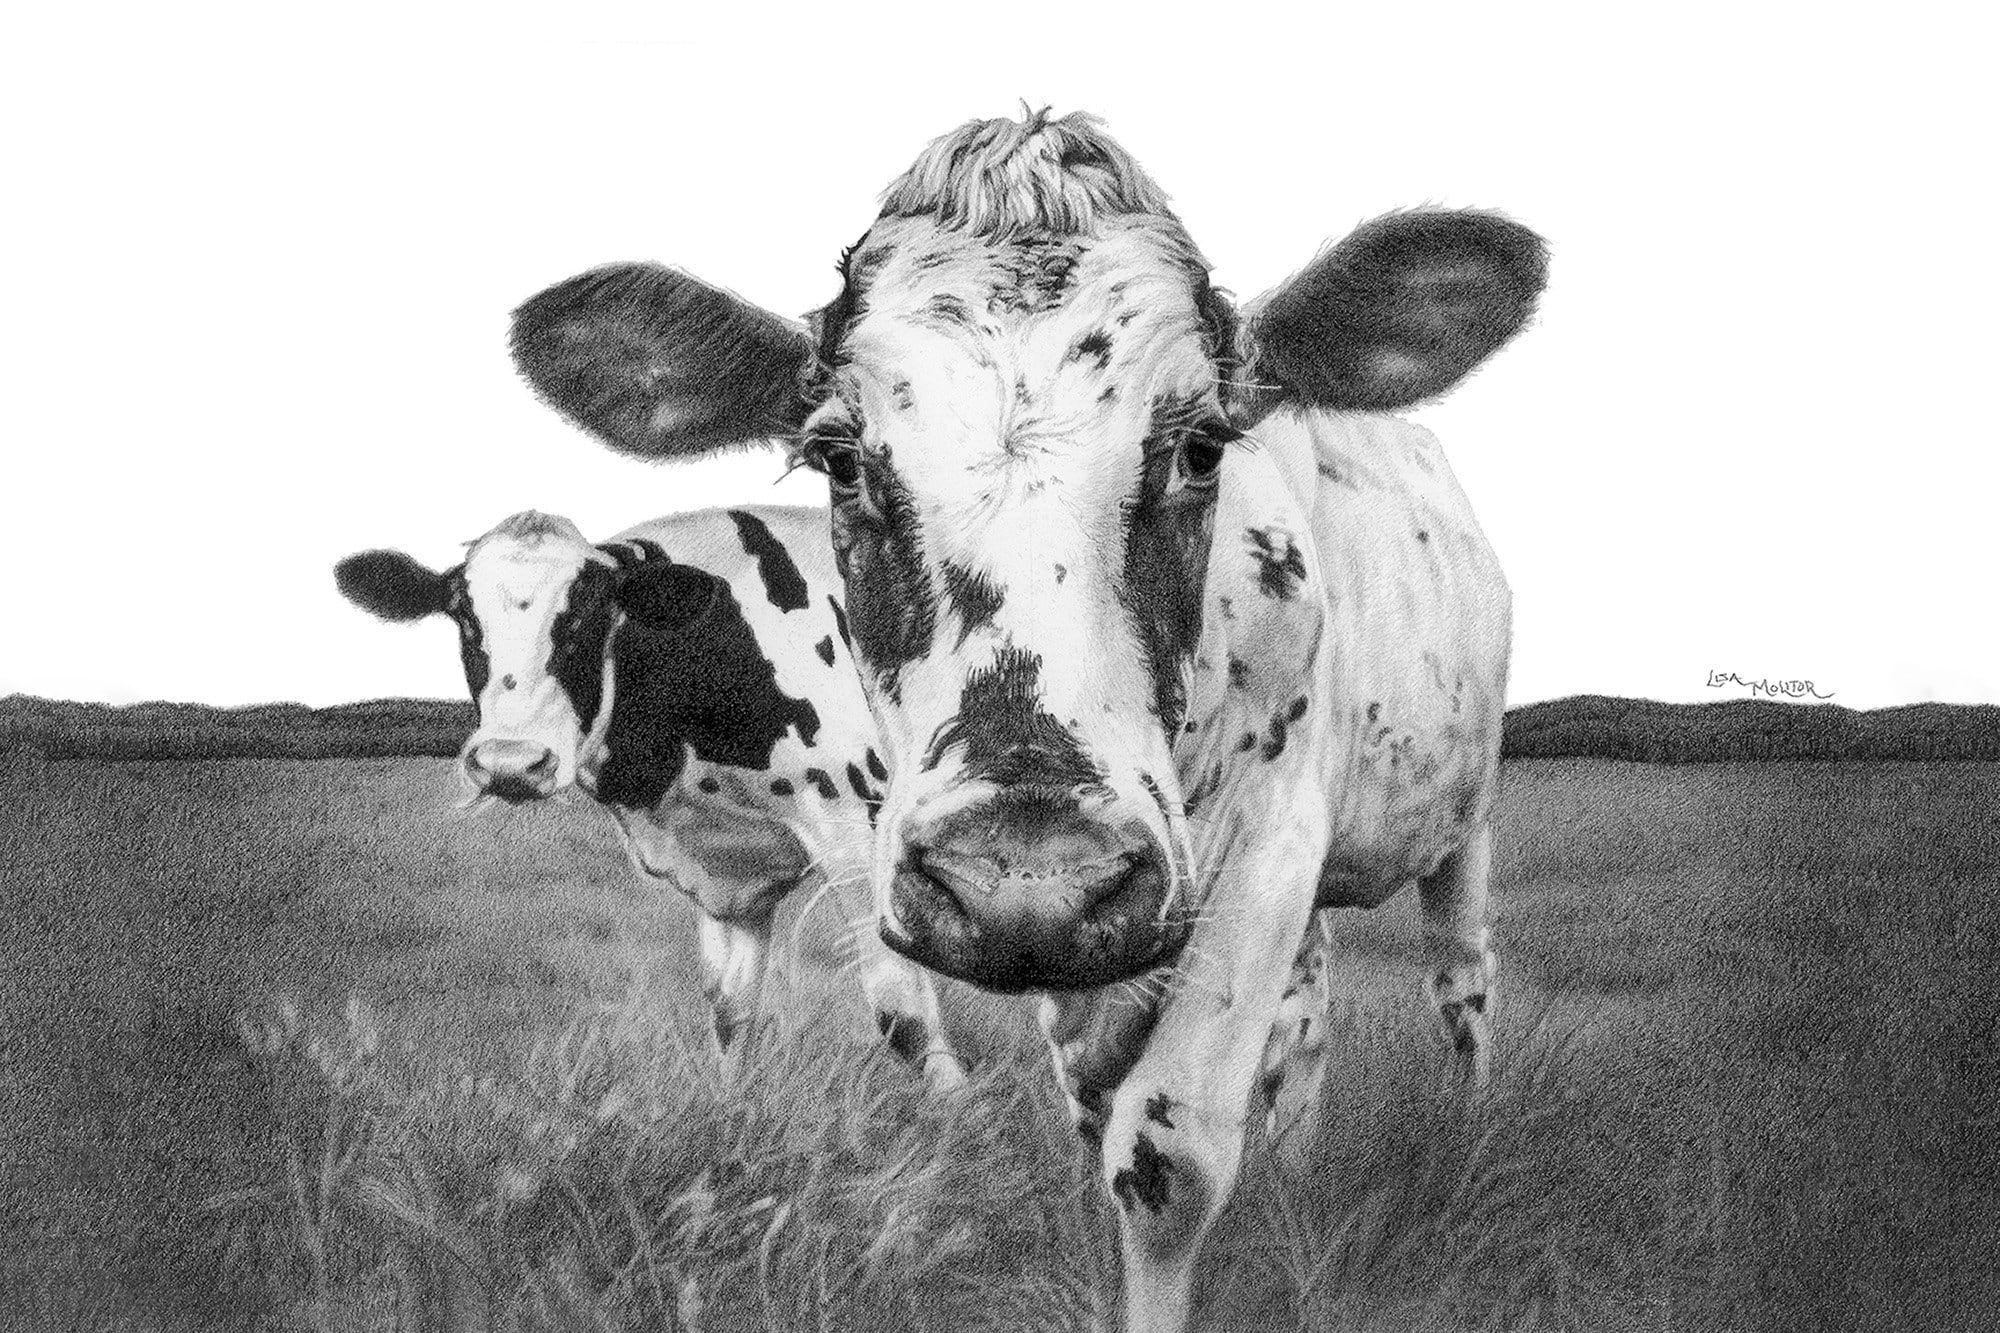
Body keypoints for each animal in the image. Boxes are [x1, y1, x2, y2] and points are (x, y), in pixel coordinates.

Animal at [334, 507, 966, 1089]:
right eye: (464, 615)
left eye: (589, 612)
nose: (510, 762)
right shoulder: (730, 875)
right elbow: (731, 1014)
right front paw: (729, 1116)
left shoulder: (857, 835)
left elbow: (903, 1012)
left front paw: (954, 1117)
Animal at [508, 110, 1543, 1332]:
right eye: (839, 459)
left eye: (1202, 445)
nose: (1023, 876)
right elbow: (1096, 1109)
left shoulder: (1271, 839)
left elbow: (1166, 1157)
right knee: (1308, 1017)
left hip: (1465, 819)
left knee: (1462, 984)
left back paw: (1465, 1141)